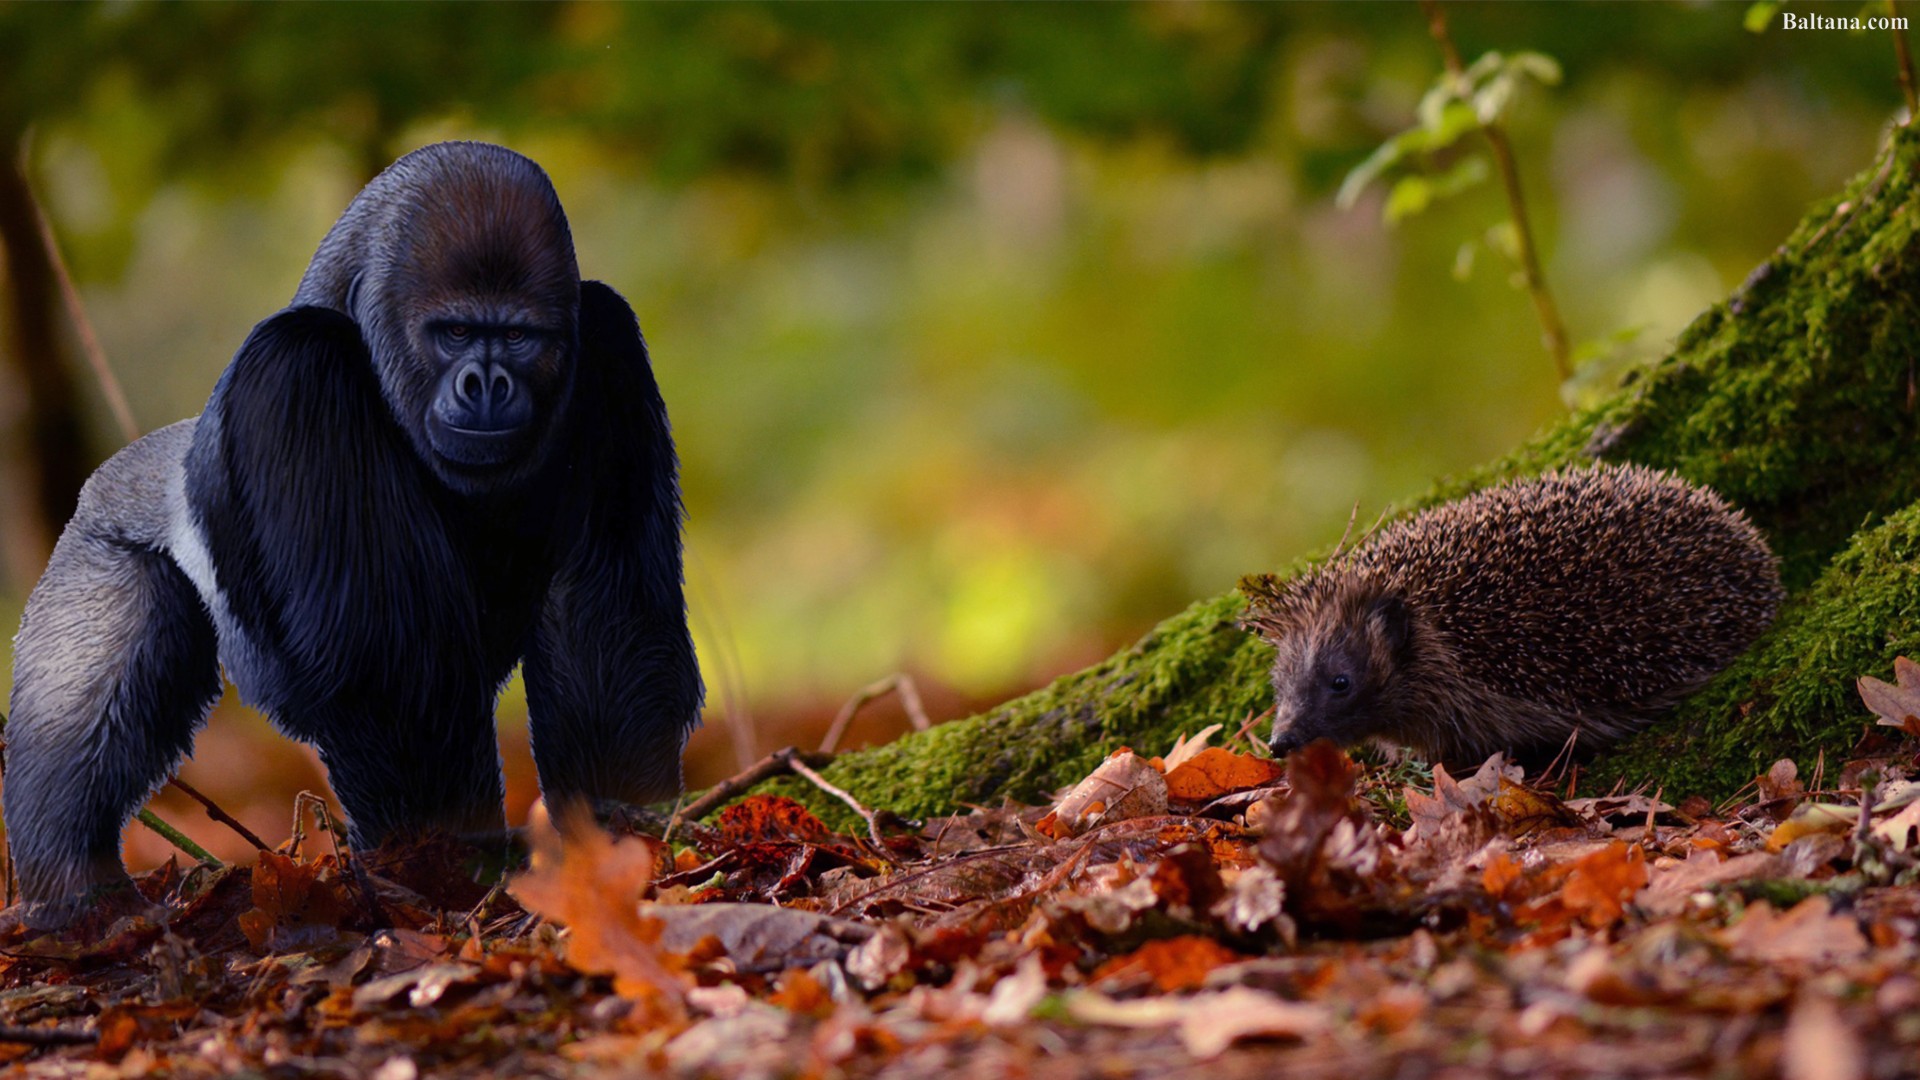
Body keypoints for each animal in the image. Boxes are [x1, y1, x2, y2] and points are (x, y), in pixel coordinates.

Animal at [3, 141, 703, 924]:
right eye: (455, 333)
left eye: (519, 338)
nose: (486, 385)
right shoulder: (295, 365)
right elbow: (386, 667)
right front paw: (447, 864)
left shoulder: (607, 338)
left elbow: (606, 628)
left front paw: (624, 833)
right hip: (99, 543)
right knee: (75, 716)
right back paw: (75, 890)